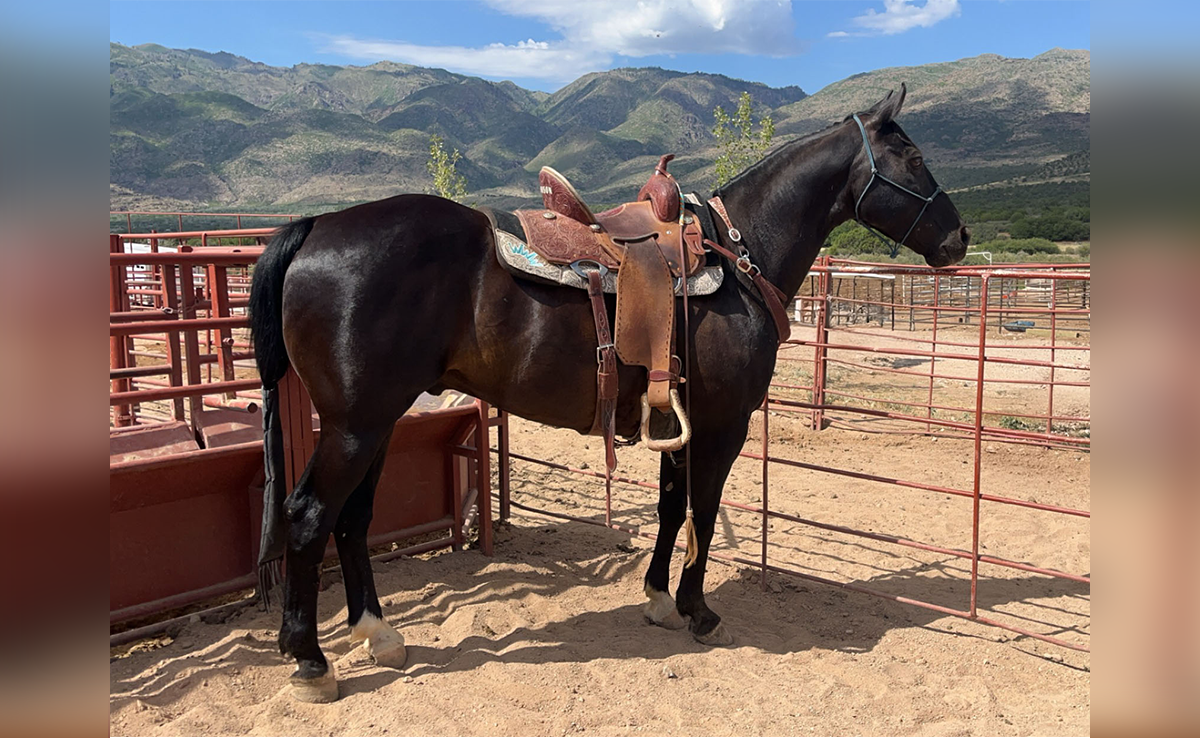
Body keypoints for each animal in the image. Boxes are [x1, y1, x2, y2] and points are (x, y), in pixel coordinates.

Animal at [248, 84, 969, 702]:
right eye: (914, 158)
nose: (960, 238)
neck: (738, 260)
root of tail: (317, 227)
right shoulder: (722, 425)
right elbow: (703, 512)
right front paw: (698, 610)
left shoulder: (678, 421)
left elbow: (673, 508)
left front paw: (658, 599)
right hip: (356, 425)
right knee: (309, 515)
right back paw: (311, 661)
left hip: (377, 420)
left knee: (352, 518)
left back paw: (378, 634)